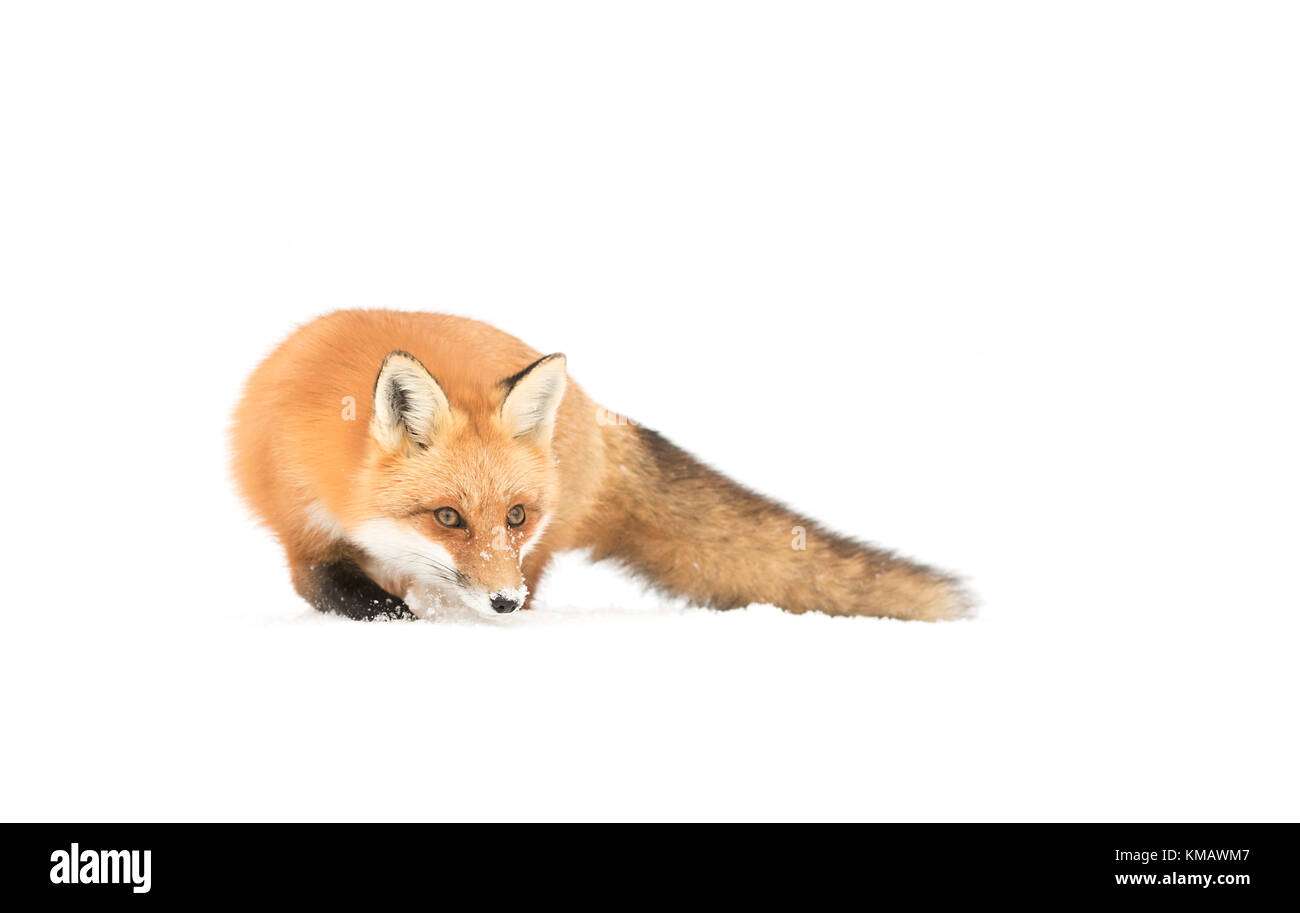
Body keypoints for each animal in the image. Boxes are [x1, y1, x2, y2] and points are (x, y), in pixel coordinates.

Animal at [231, 310, 972, 622]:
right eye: (447, 517)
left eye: (515, 514)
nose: (501, 602)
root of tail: (595, 415)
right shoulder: (299, 522)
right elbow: (326, 587)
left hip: (545, 551)